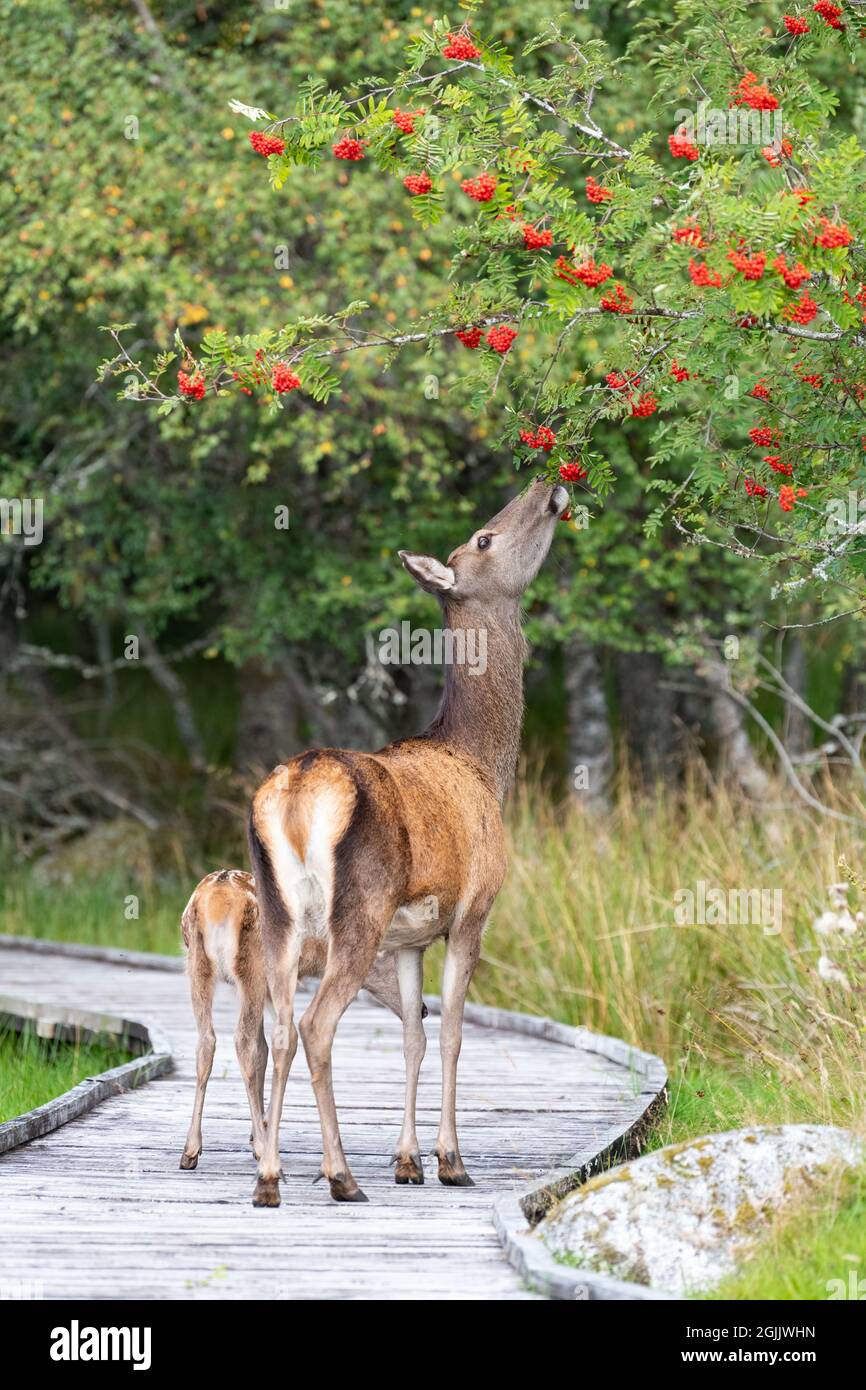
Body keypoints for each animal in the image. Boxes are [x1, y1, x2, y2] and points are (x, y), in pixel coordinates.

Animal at [178, 868, 407, 1172]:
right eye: (390, 963)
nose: (422, 1008)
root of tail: (218, 896)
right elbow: (282, 1043)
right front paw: (261, 1136)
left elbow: (265, 1049)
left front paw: (257, 1132)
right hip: (252, 964)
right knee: (242, 1042)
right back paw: (260, 1149)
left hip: (197, 963)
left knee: (207, 1041)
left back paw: (191, 1150)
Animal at [247, 476, 568, 1206]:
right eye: (483, 537)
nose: (546, 482)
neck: (485, 766)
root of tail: (298, 792)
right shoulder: (474, 906)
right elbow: (450, 1032)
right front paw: (449, 1160)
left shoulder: (409, 938)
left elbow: (414, 1036)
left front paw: (407, 1160)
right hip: (357, 910)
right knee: (315, 1025)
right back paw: (339, 1175)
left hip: (280, 915)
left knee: (275, 1028)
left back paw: (271, 1177)